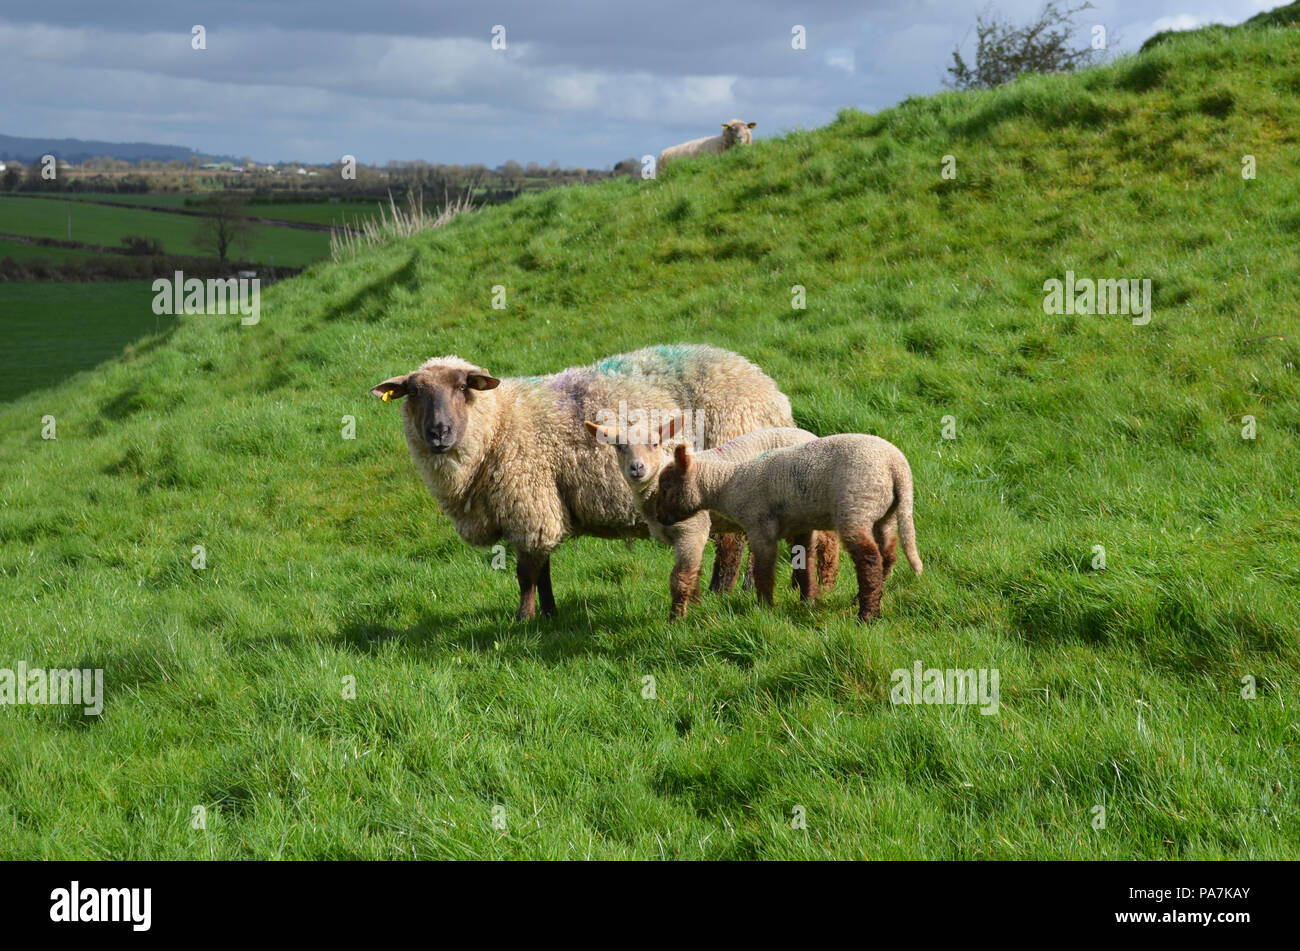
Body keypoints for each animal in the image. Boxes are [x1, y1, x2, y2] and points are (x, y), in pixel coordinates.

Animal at [370, 344, 794, 621]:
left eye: (462, 387)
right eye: (414, 393)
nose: (438, 432)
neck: (499, 424)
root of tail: (771, 391)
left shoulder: (530, 502)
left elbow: (526, 573)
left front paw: (523, 620)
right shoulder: (543, 504)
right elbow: (542, 570)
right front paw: (550, 615)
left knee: (731, 544)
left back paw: (720, 592)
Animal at [584, 417, 840, 597]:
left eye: (655, 444)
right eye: (619, 447)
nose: (637, 468)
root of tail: (810, 434)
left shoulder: (693, 526)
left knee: (828, 540)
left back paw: (826, 584)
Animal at [655, 434, 922, 621]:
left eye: (666, 487)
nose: (660, 518)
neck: (729, 484)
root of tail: (897, 468)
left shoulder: (760, 527)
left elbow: (763, 572)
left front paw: (764, 608)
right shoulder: (800, 528)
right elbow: (804, 566)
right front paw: (807, 602)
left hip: (857, 506)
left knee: (870, 559)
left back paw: (866, 615)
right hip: (884, 515)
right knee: (887, 555)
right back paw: (865, 600)